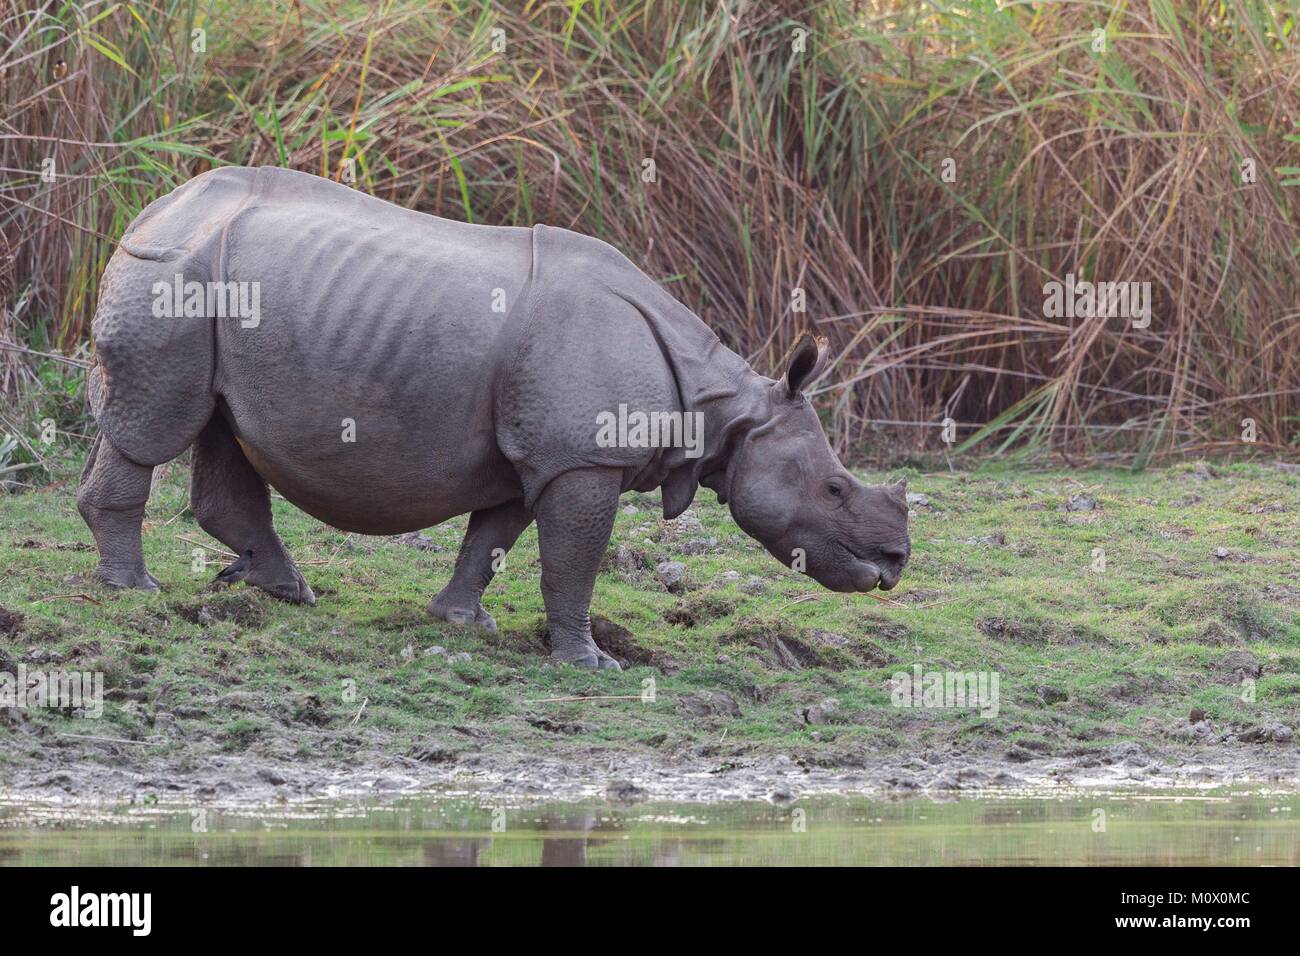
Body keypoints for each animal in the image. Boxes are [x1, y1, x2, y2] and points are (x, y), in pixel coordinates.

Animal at [78, 166, 910, 668]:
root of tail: (150, 211)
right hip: (173, 278)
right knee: (155, 429)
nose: (896, 561)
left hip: (215, 293)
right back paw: (135, 590)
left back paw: (288, 591)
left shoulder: (535, 454)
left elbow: (494, 538)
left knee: (218, 429)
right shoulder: (582, 457)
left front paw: (460, 622)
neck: (722, 408)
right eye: (835, 490)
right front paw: (590, 662)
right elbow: (571, 558)